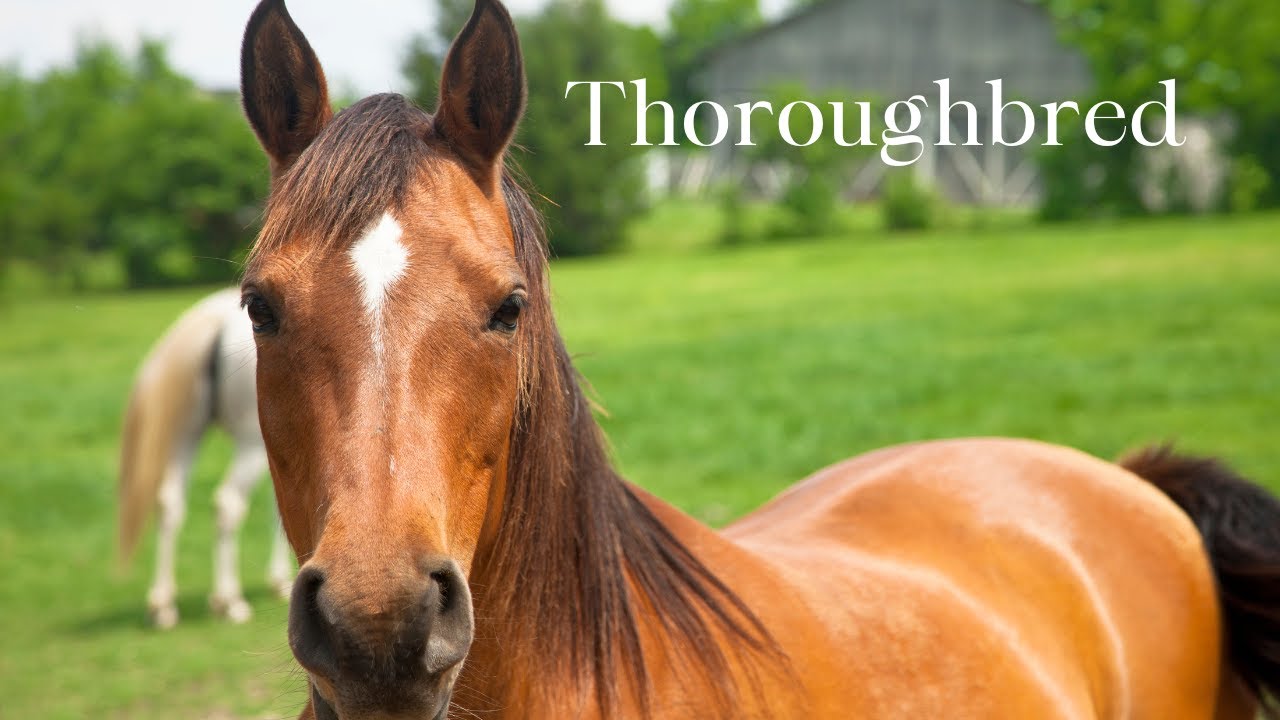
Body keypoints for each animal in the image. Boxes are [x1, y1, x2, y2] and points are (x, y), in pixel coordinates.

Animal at [118, 287, 293, 628]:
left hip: (187, 435)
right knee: (228, 503)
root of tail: (214, 321)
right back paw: (229, 601)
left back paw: (163, 605)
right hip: (250, 443)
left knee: (170, 502)